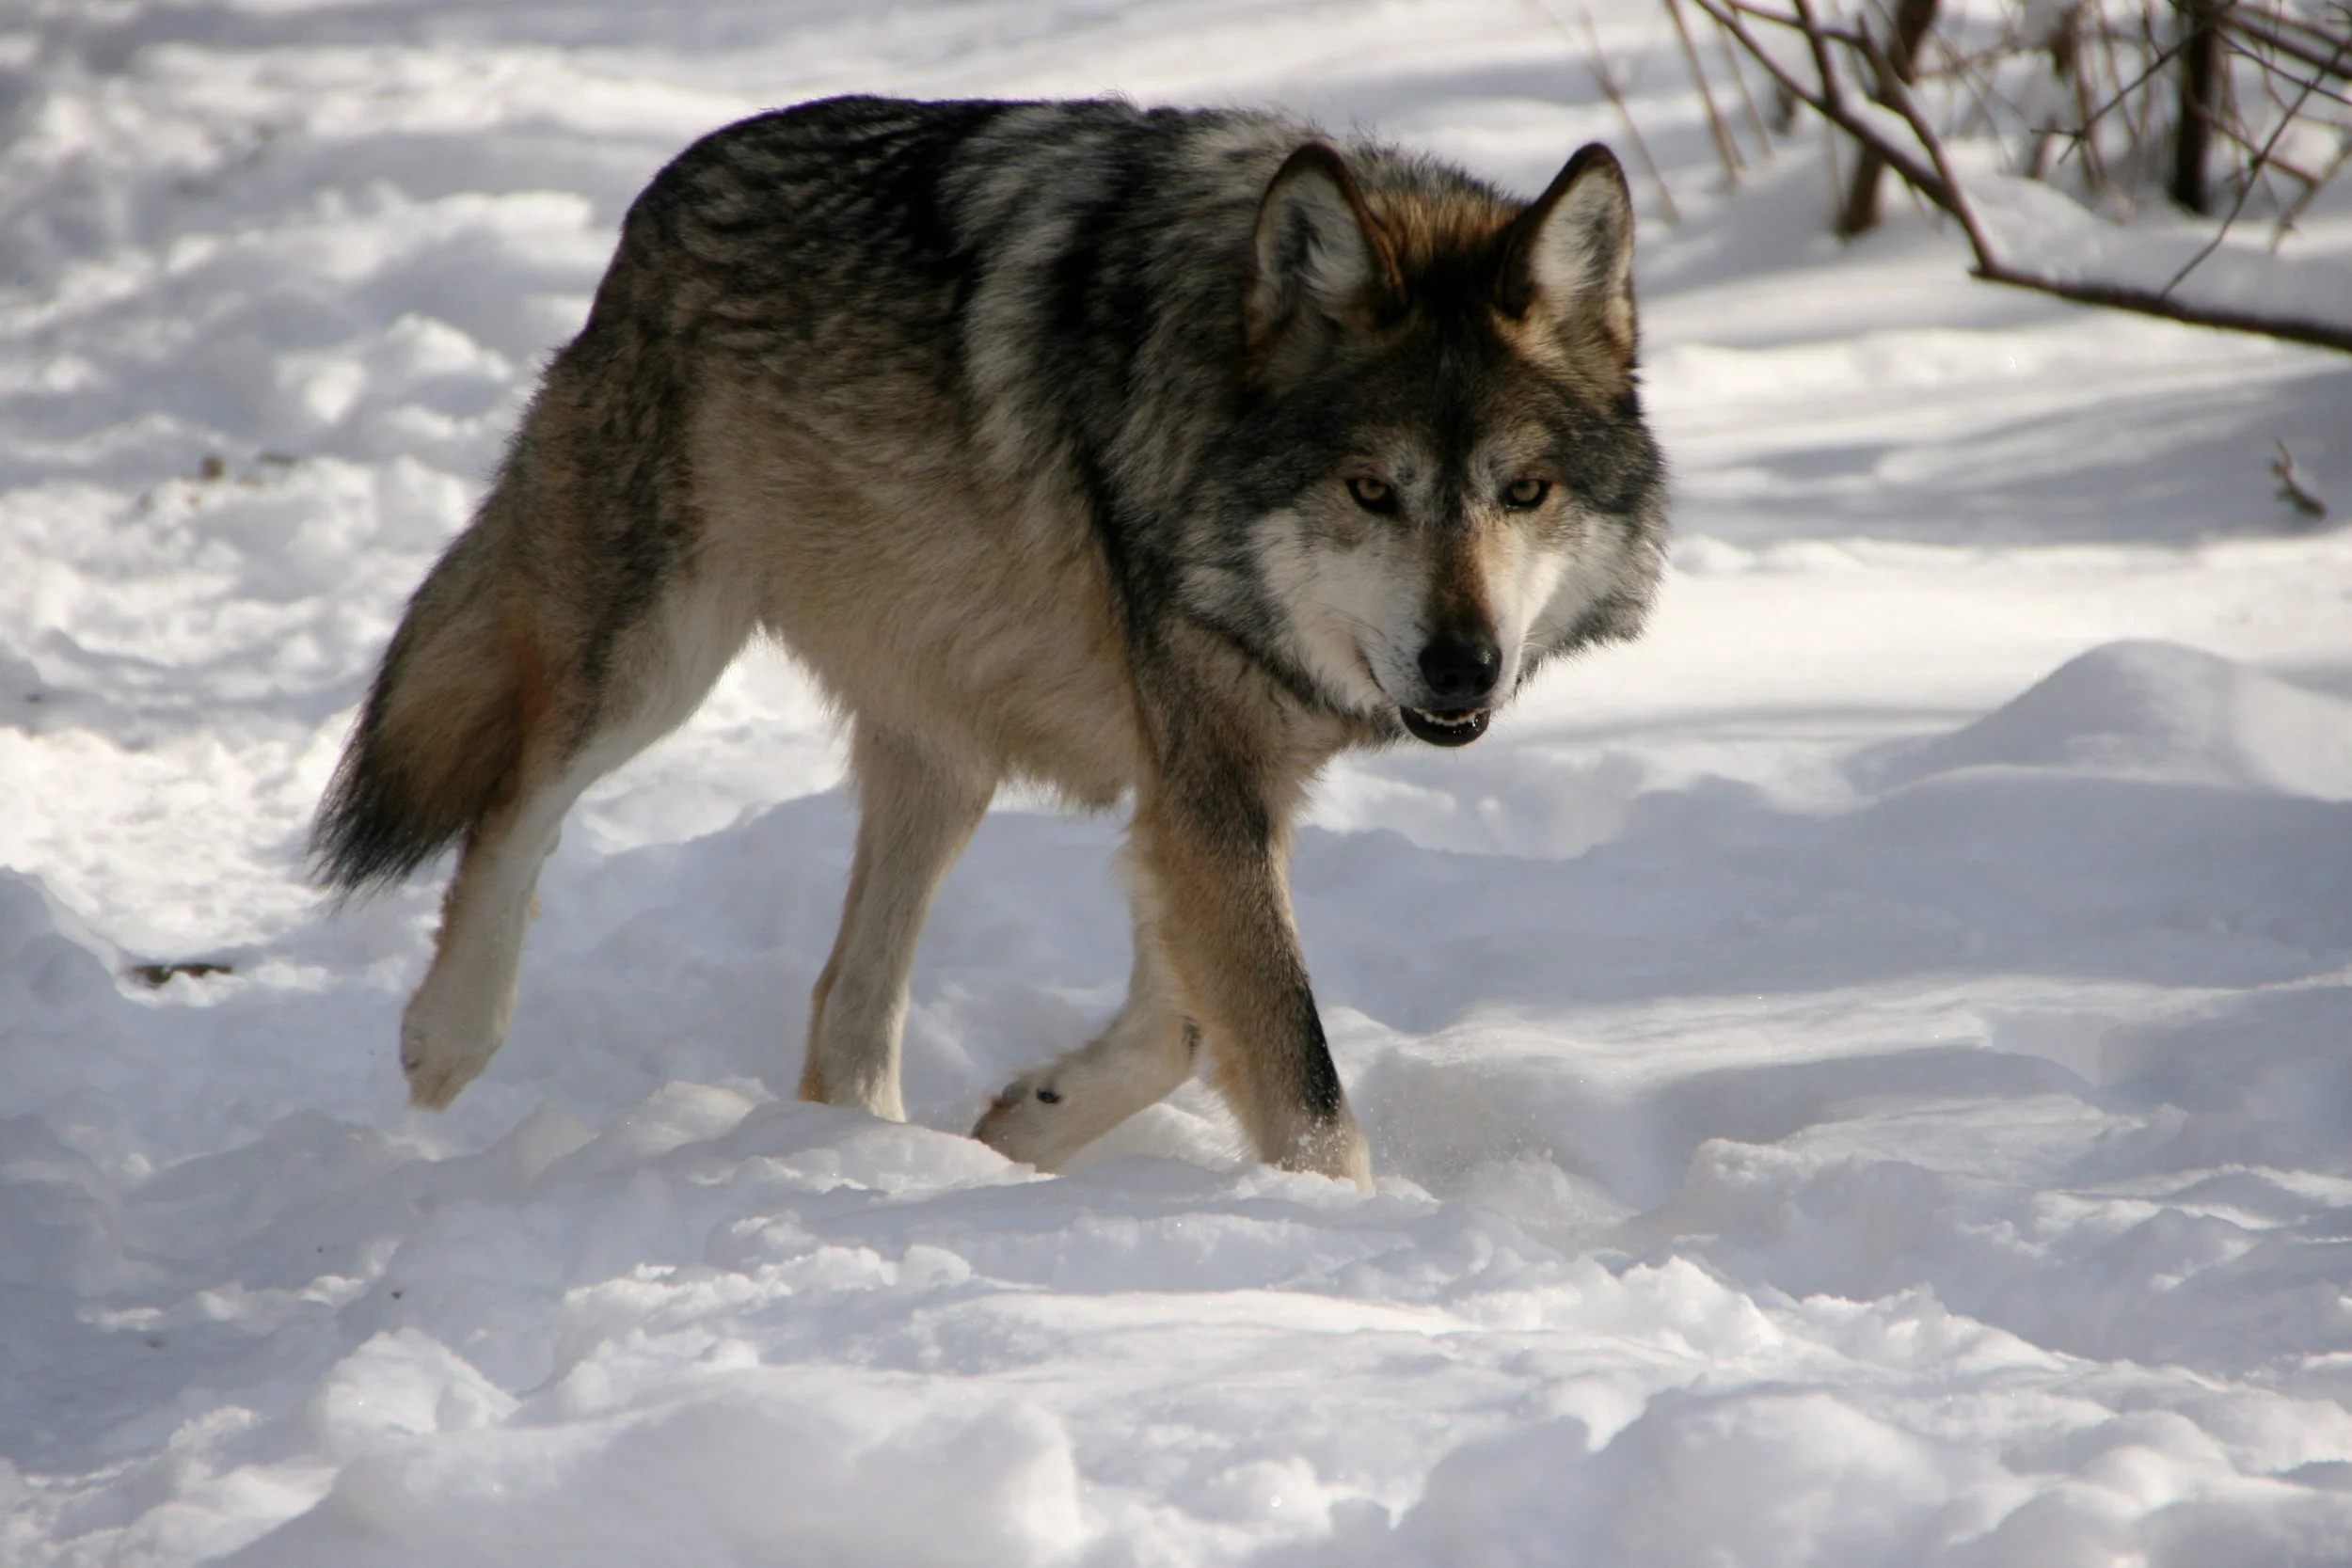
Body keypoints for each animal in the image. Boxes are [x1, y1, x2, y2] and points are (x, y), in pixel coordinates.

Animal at [312, 95, 1666, 1189]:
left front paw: (1034, 1118)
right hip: (658, 657)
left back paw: (865, 1155)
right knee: (520, 798)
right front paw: (1343, 1233)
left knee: (844, 1006)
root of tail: (655, 204)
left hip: (945, 753)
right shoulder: (1206, 785)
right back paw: (448, 1038)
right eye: (1373, 490)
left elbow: (1189, 1020)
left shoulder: (1211, 789)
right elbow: (1300, 1077)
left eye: (1523, 492)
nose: (1463, 666)